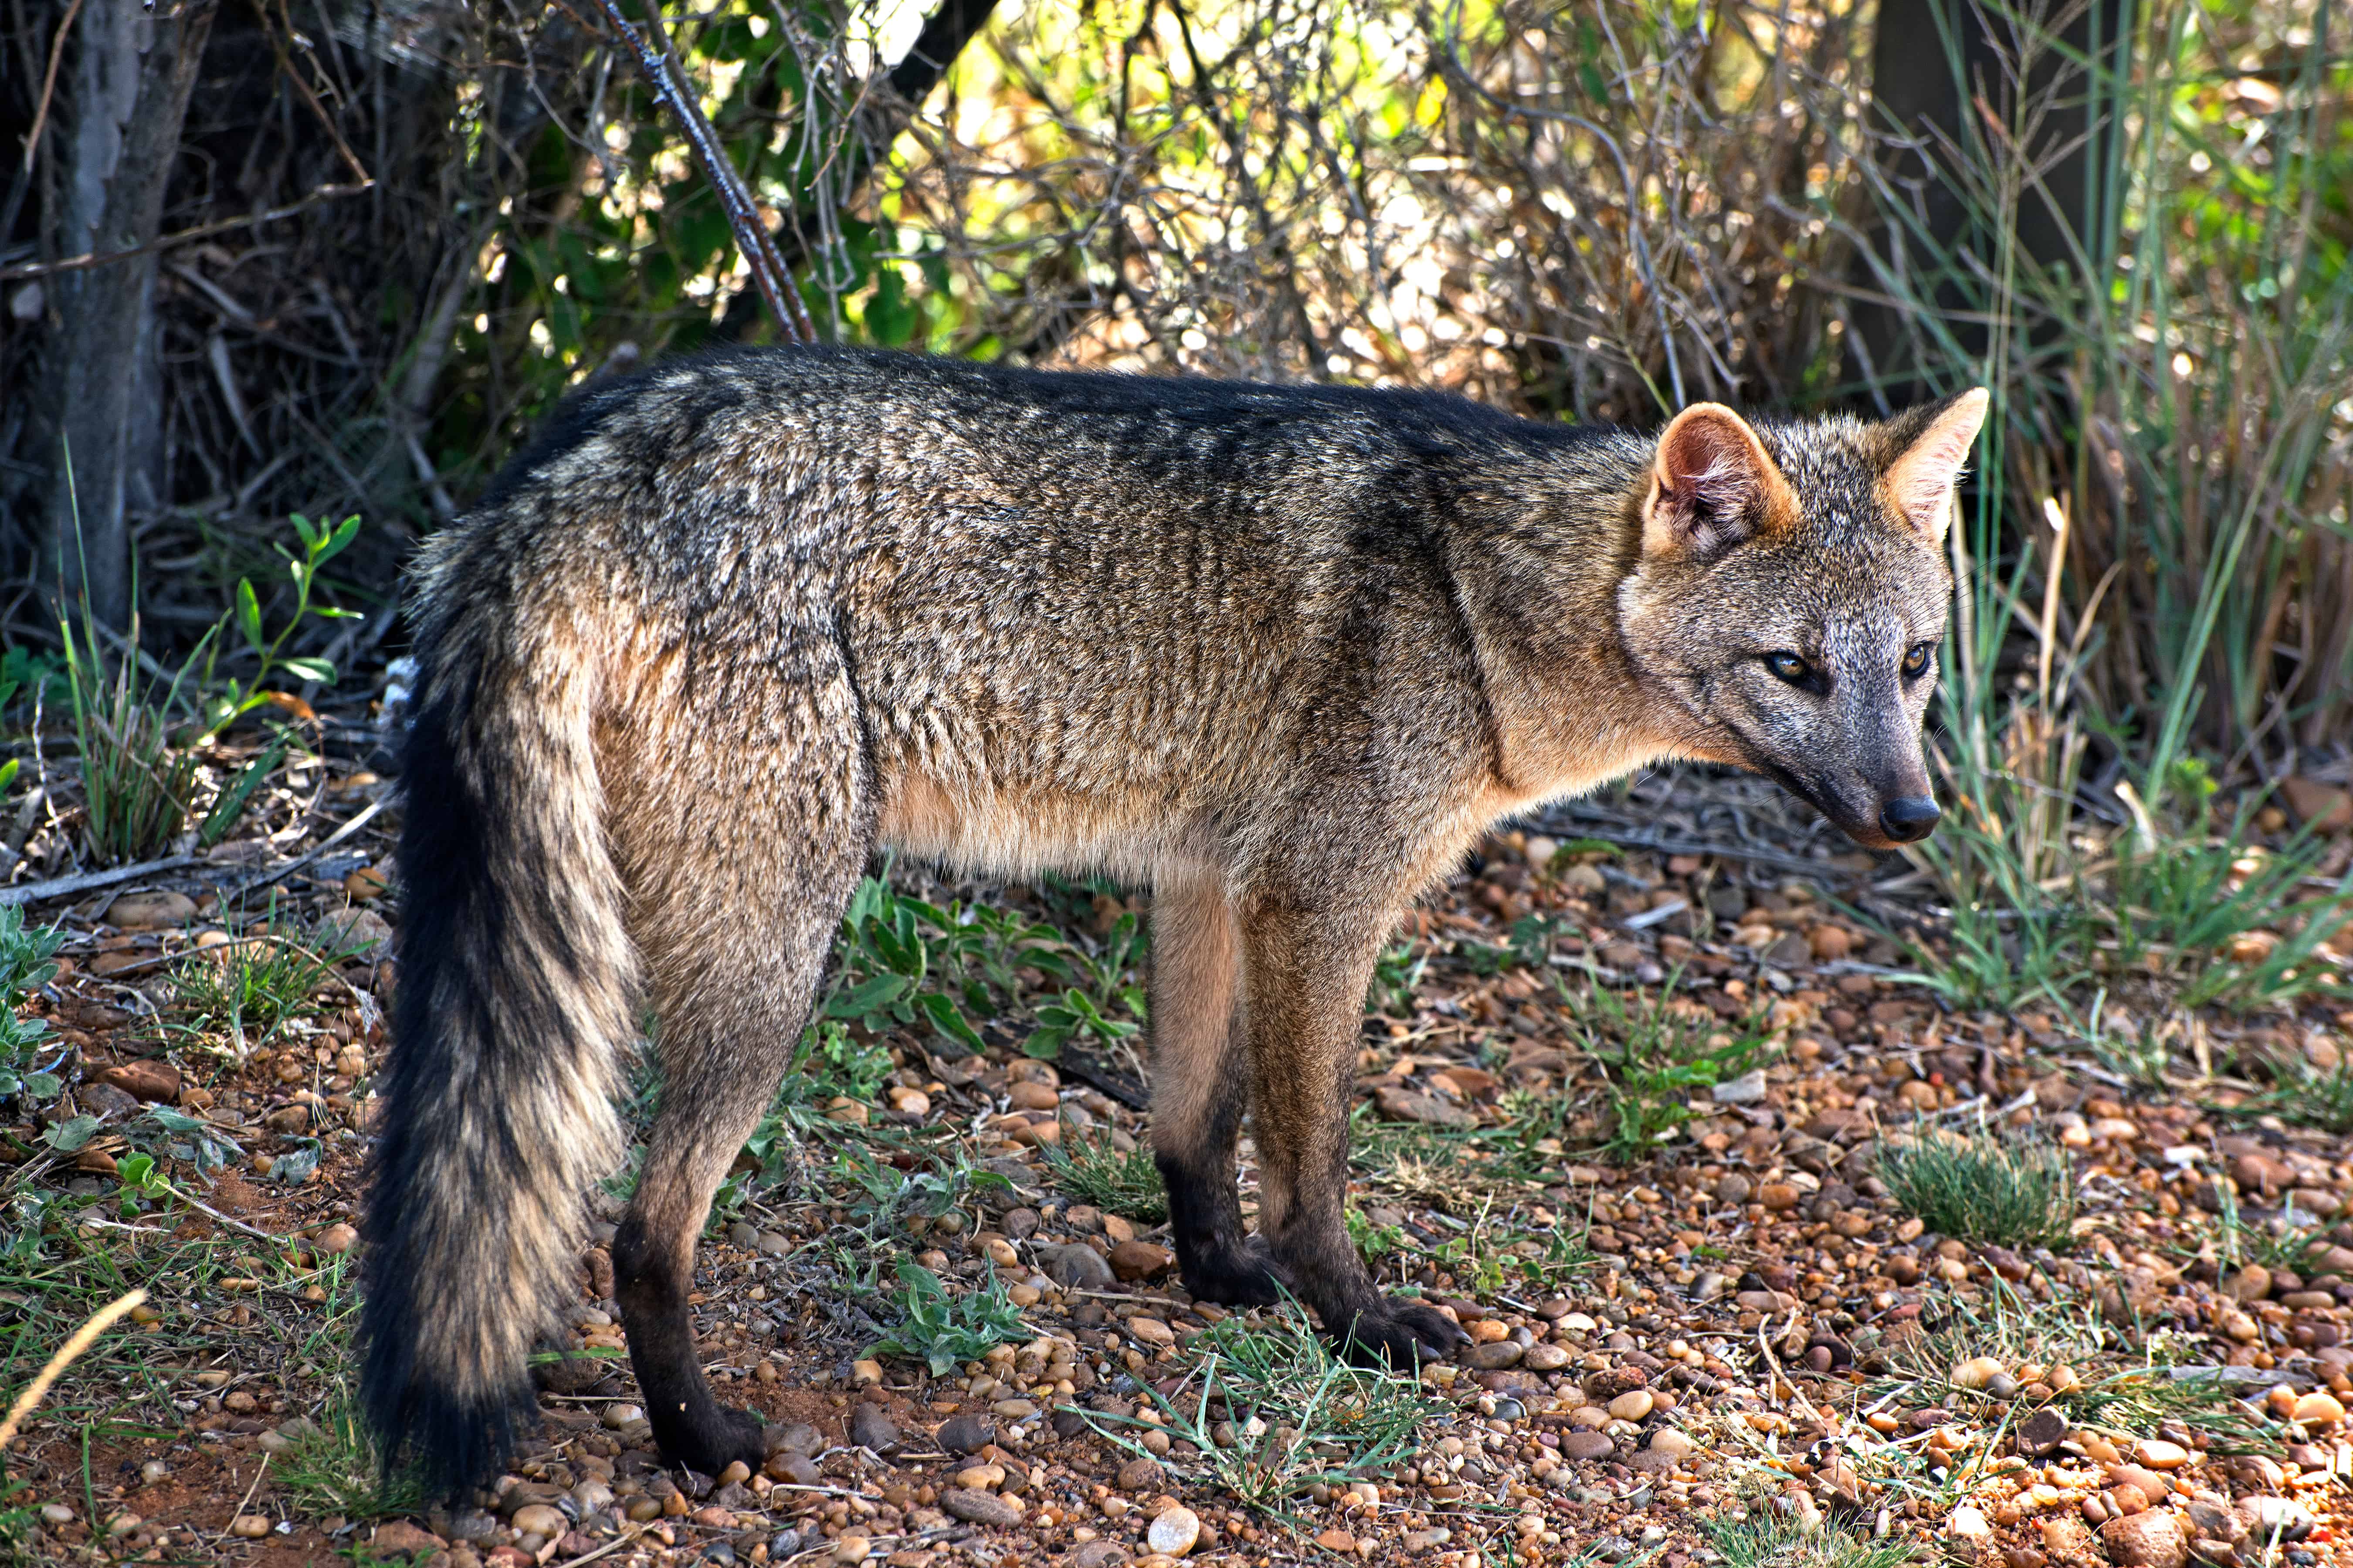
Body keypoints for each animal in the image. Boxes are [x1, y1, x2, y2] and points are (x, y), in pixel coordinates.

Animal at [359, 344, 1986, 1494]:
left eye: (1912, 663)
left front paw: (1218, 1275)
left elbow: (1193, 1116)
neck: (1474, 601)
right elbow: (1310, 1151)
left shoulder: (1205, 879)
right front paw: (1353, 1317)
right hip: (776, 960)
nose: (1916, 817)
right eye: (1793, 666)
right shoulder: (1320, 901)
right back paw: (699, 1437)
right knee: (640, 1230)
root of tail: (560, 474)